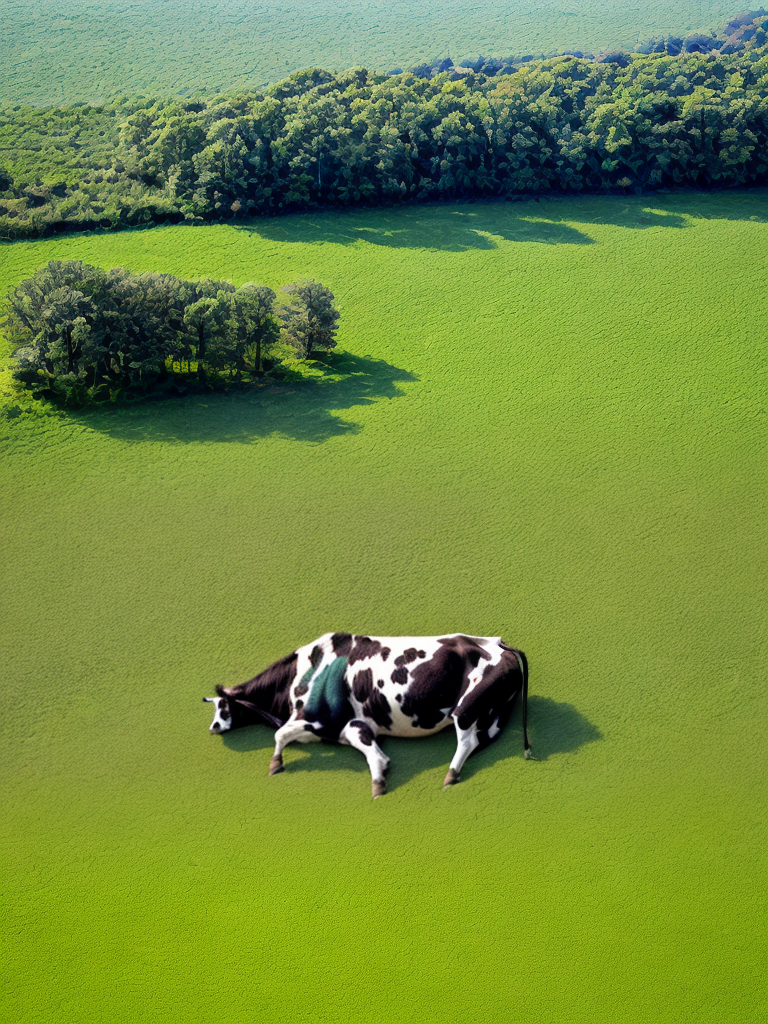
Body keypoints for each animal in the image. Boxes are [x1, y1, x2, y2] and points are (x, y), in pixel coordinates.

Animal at [203, 633, 531, 798]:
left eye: (223, 707)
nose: (213, 727)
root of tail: (496, 641)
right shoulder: (352, 724)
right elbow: (371, 750)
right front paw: (379, 779)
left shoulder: (325, 720)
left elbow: (280, 733)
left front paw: (275, 764)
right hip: (494, 713)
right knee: (479, 740)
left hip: (465, 708)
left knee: (466, 740)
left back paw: (450, 775)